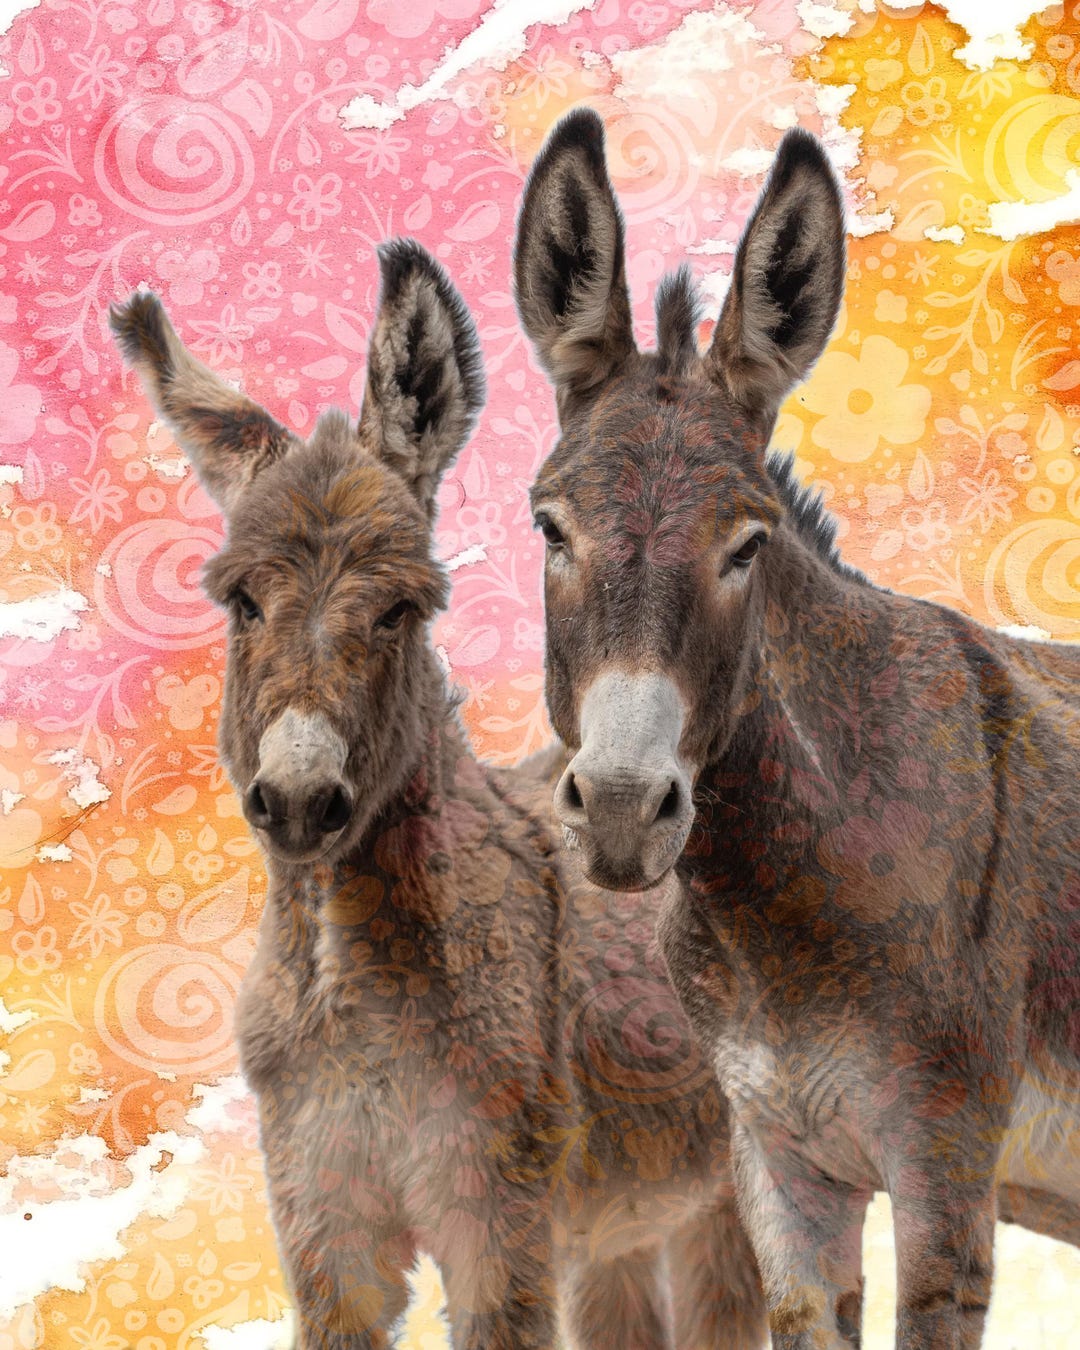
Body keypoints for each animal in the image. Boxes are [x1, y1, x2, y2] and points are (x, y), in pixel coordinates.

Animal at [109, 243, 769, 1349]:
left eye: (401, 609)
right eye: (242, 601)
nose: (300, 803)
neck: (351, 989)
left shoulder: (498, 1221)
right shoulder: (323, 1233)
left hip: (728, 1184)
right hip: (627, 1223)